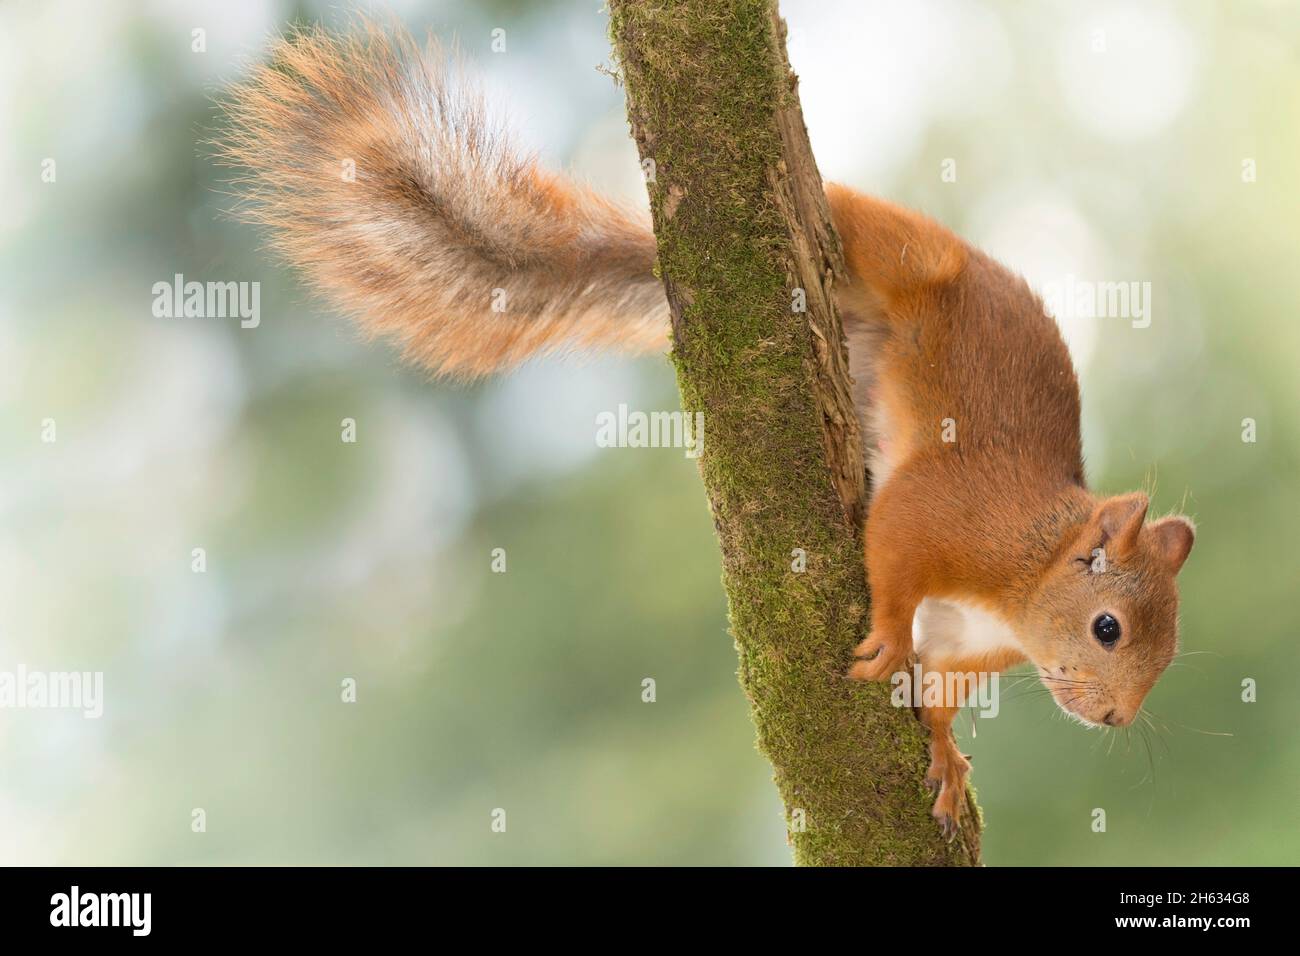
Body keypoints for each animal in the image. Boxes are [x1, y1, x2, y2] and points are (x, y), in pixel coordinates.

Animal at [217, 23, 1196, 837]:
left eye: (1168, 649)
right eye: (1109, 629)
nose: (1115, 718)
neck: (1026, 574)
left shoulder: (964, 641)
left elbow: (942, 693)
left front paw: (949, 755)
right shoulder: (957, 512)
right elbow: (898, 541)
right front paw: (886, 630)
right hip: (900, 250)